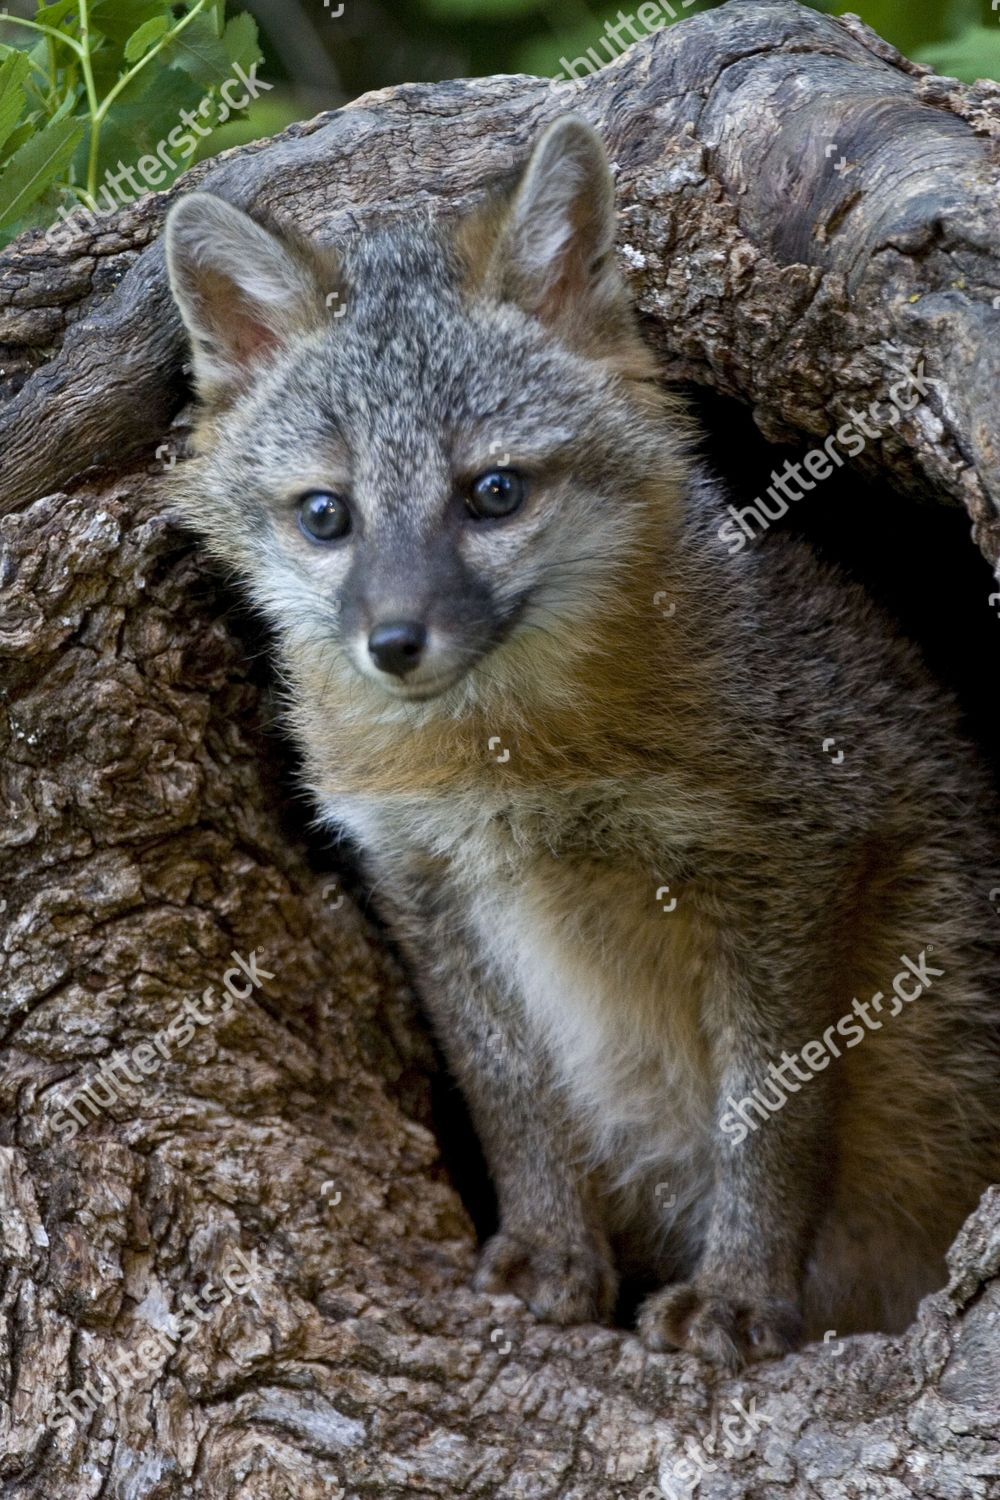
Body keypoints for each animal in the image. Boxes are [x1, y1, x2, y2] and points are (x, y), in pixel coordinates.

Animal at [163, 115, 1000, 1370]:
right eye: (326, 516)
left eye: (493, 494)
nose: (394, 642)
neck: (505, 768)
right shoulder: (422, 884)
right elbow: (507, 1093)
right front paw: (551, 1250)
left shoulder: (798, 857)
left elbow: (773, 1114)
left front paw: (742, 1293)